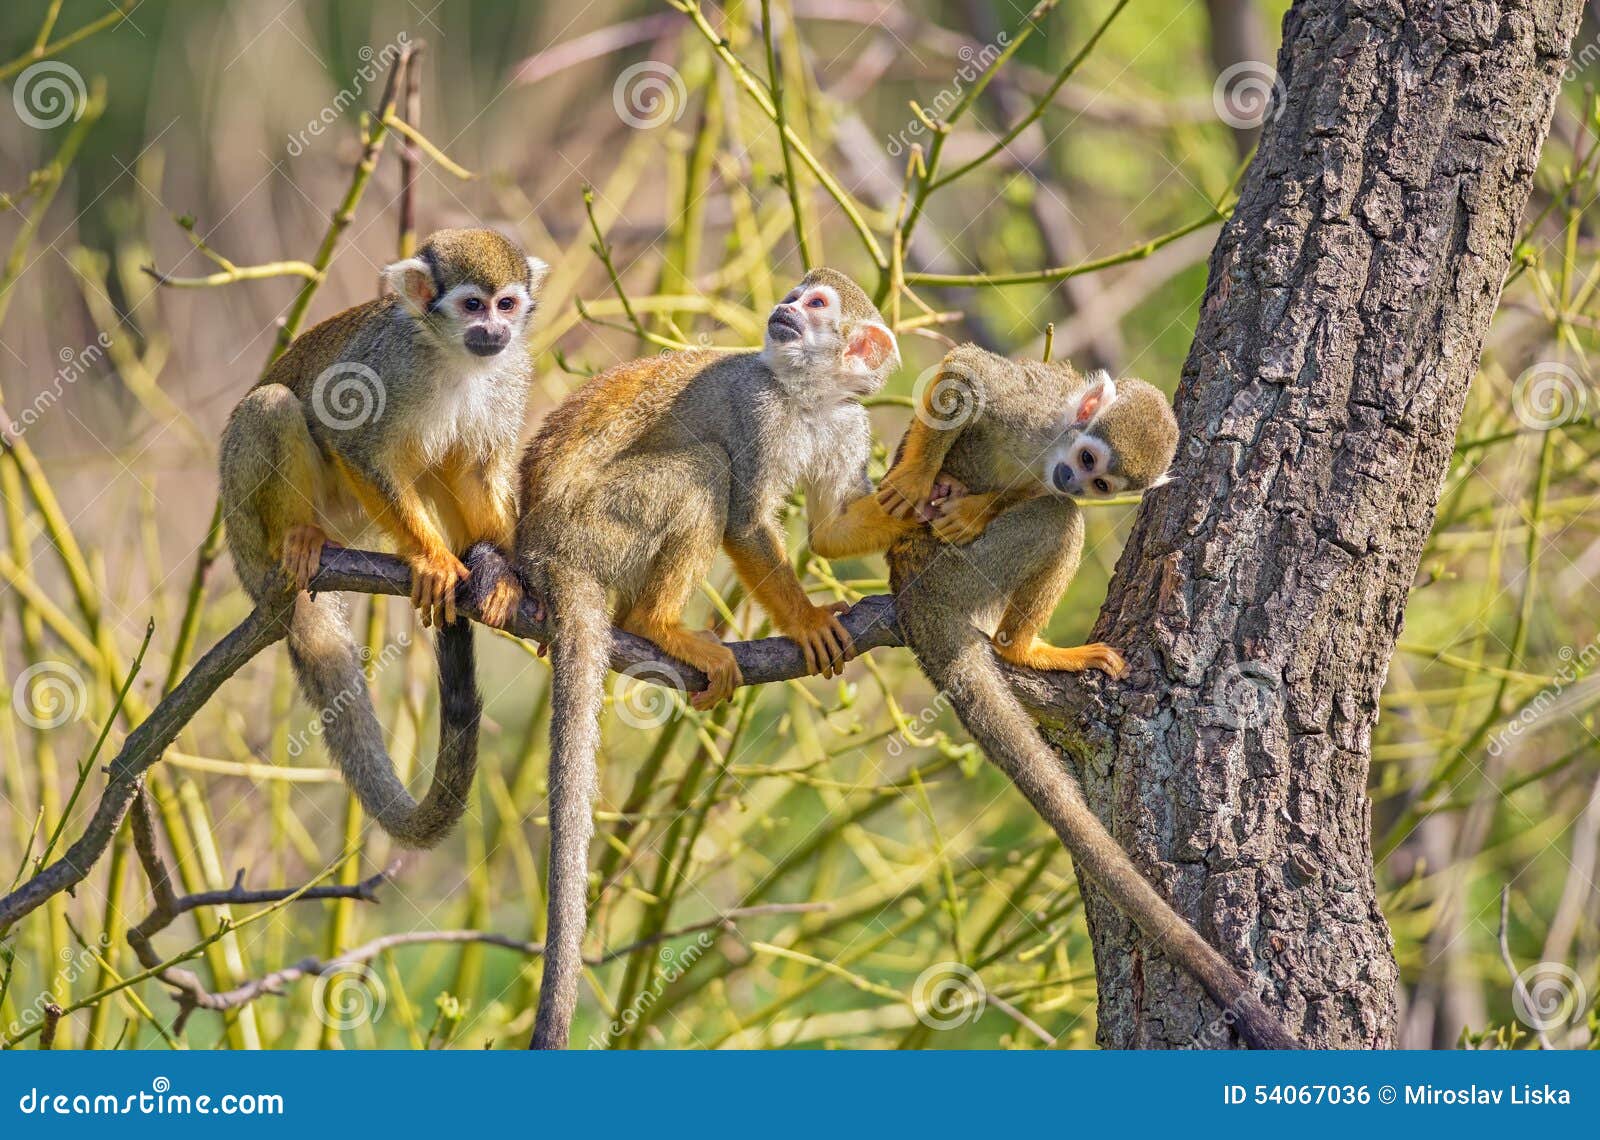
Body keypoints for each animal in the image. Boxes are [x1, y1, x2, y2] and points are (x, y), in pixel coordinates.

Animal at [218, 227, 547, 849]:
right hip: (245, 514)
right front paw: (432, 559)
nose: (495, 331)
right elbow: (354, 444)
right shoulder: (389, 363)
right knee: (273, 405)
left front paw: (506, 574)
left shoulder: (510, 374)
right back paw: (297, 539)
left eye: (507, 304)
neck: (449, 354)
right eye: (473, 305)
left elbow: (476, 469)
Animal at [517, 267, 919, 1048]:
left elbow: (829, 531)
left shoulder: (848, 422)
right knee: (704, 466)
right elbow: (744, 518)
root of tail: (545, 551)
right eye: (797, 295)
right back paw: (659, 623)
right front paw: (806, 622)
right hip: (596, 531)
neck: (805, 396)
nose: (785, 308)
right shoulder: (754, 406)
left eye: (816, 304)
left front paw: (920, 504)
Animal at [879, 345, 1299, 1049]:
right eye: (1086, 459)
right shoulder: (1028, 402)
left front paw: (978, 505)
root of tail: (911, 589)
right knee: (1056, 521)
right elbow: (964, 378)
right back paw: (1021, 645)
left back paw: (1023, 640)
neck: (1050, 439)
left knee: (1055, 514)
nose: (1076, 482)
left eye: (1104, 482)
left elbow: (1029, 493)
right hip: (955, 576)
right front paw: (916, 478)